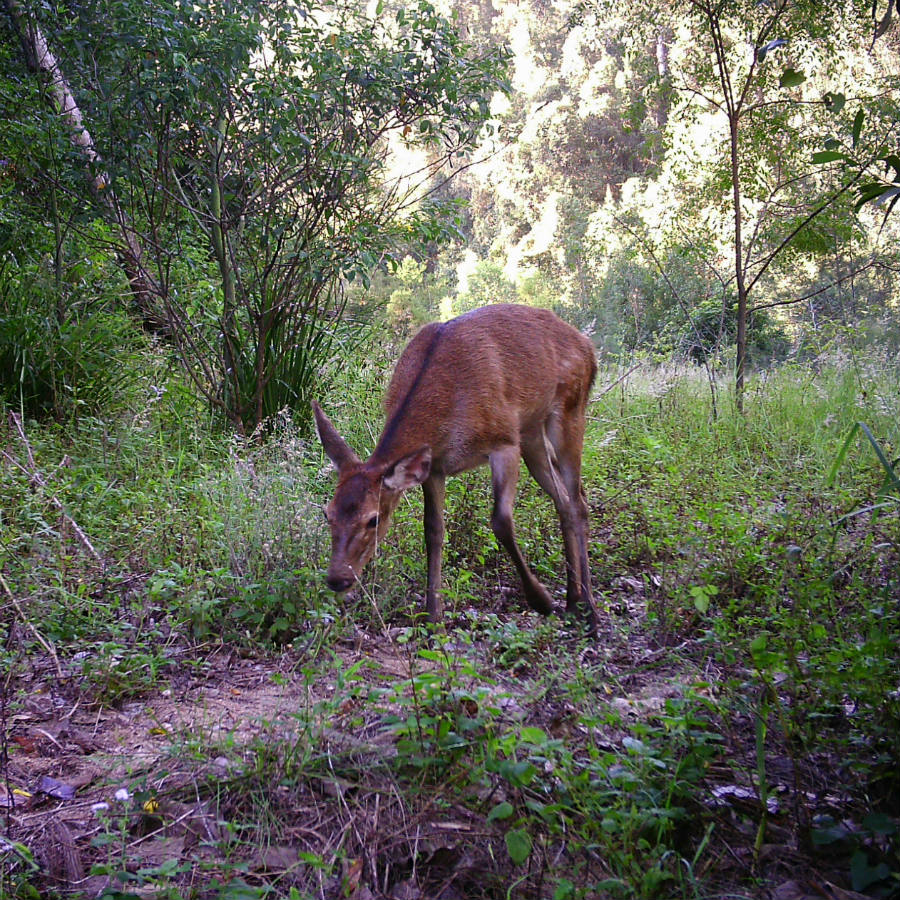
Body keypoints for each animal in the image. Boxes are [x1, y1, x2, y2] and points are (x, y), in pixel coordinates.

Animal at [312, 303, 599, 635]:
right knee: (564, 500)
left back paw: (590, 610)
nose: (337, 578)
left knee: (578, 502)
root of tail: (589, 348)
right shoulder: (434, 467)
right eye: (327, 514)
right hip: (531, 433)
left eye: (373, 519)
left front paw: (541, 599)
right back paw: (573, 600)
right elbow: (433, 532)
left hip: (569, 410)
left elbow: (501, 521)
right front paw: (434, 619)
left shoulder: (503, 440)